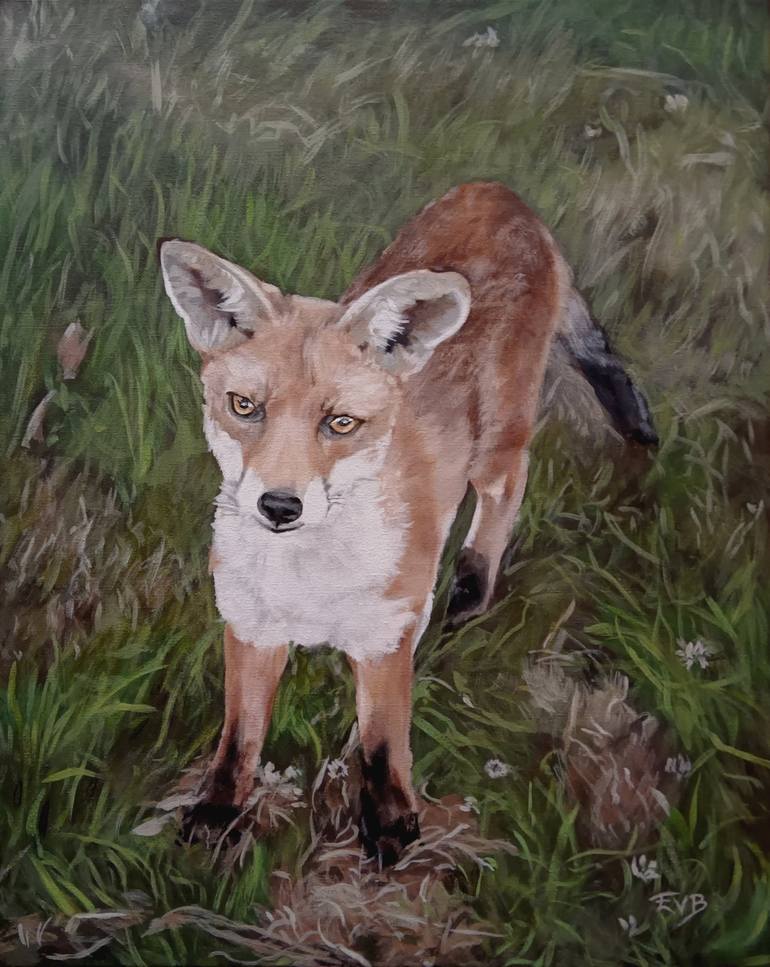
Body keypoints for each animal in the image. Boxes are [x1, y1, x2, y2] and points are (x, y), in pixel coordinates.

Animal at [159, 181, 656, 866]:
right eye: (244, 407)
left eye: (341, 423)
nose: (279, 507)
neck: (307, 584)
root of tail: (500, 192)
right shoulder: (252, 628)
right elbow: (239, 743)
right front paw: (214, 817)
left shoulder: (383, 639)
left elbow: (382, 740)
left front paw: (390, 824)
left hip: (496, 447)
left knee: (507, 492)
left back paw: (470, 592)